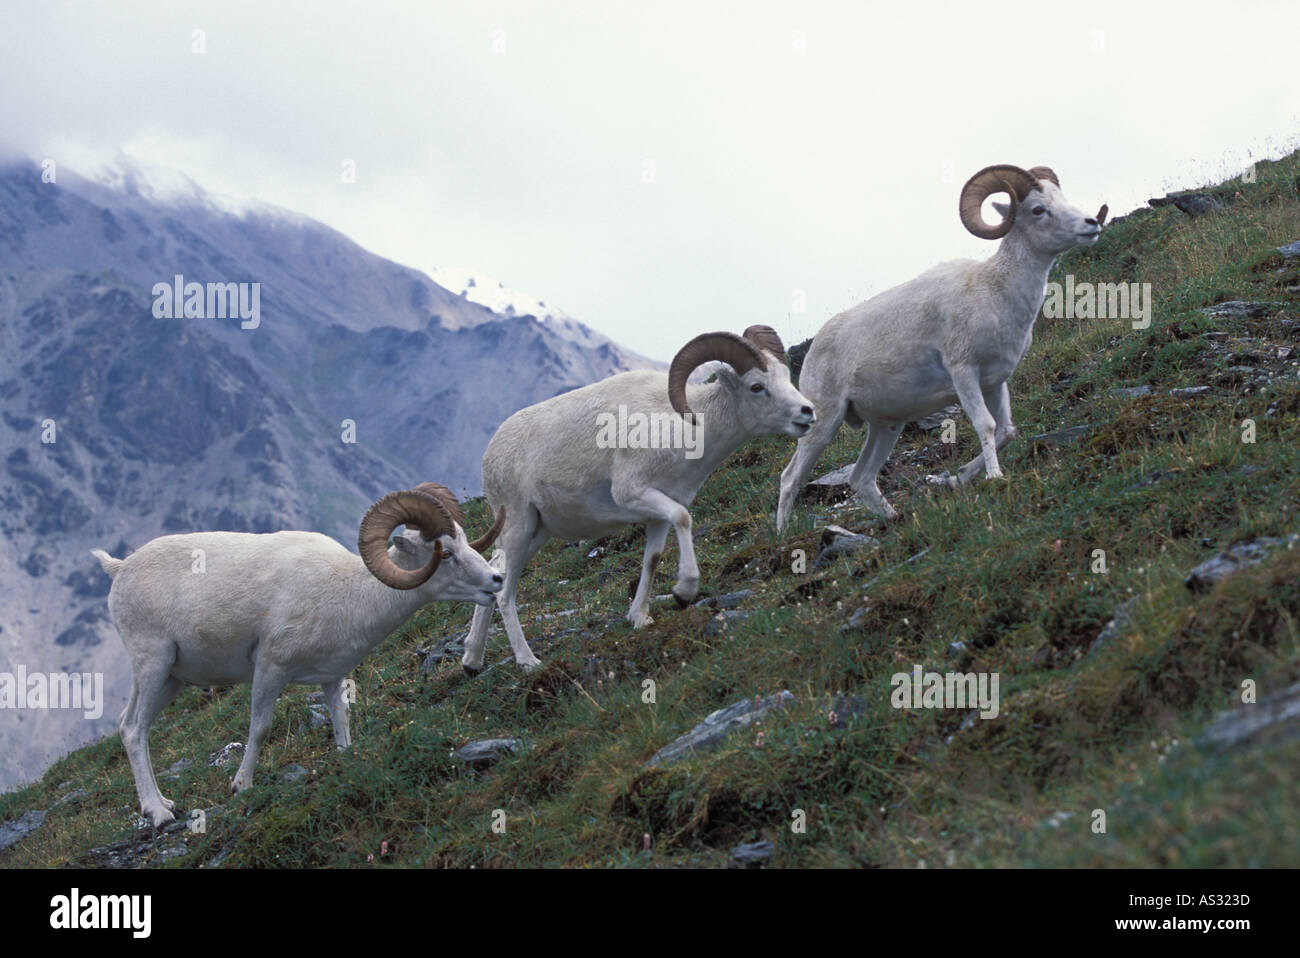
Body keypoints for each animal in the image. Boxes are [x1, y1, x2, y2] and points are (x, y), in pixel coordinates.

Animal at [92, 483, 505, 826]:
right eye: (445, 552)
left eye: (465, 542)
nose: (496, 580)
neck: (347, 593)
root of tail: (120, 569)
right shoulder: (270, 668)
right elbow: (260, 728)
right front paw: (241, 786)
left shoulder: (331, 678)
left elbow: (341, 718)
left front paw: (345, 758)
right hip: (153, 665)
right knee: (132, 729)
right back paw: (159, 814)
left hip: (172, 680)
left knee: (135, 728)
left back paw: (165, 803)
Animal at [460, 326, 815, 673]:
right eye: (757, 386)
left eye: (785, 375)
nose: (807, 412)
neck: (679, 430)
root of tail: (489, 456)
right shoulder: (635, 496)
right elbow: (684, 518)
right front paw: (684, 591)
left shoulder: (656, 515)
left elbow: (652, 558)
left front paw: (639, 617)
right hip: (518, 527)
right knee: (505, 593)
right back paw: (527, 660)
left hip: (537, 532)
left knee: (495, 572)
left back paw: (472, 661)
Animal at [776, 164, 1108, 530]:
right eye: (1038, 209)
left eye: (1061, 197)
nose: (1092, 224)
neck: (995, 292)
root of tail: (812, 353)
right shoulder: (964, 374)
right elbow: (986, 425)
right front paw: (994, 478)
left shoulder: (994, 382)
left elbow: (1006, 431)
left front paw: (954, 479)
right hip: (824, 423)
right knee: (790, 479)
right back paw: (784, 536)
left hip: (886, 427)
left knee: (861, 478)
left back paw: (895, 519)